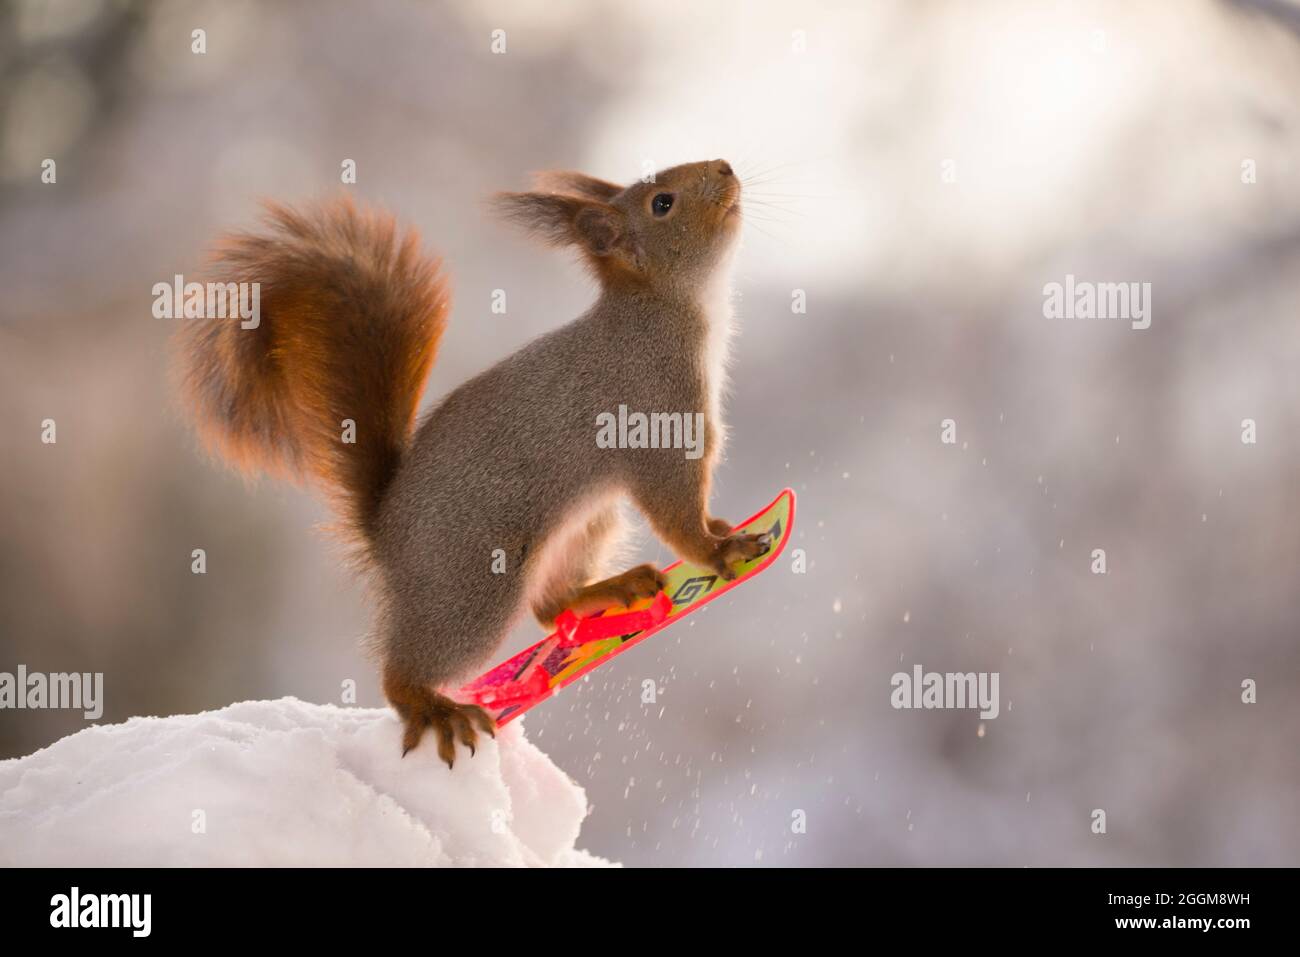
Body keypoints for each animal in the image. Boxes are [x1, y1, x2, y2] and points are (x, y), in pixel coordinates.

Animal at [176, 159, 771, 767]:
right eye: (663, 204)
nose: (725, 166)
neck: (672, 310)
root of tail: (385, 534)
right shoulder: (655, 423)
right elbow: (675, 513)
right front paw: (719, 550)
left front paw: (721, 527)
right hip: (473, 582)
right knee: (414, 664)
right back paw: (433, 707)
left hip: (589, 524)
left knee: (549, 606)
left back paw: (609, 592)